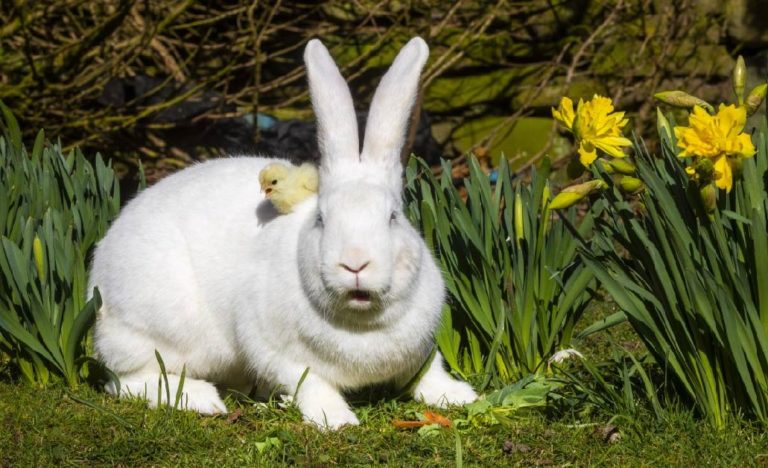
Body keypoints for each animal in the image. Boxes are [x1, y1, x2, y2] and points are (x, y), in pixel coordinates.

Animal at [88, 36, 477, 429]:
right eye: (322, 219)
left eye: (393, 217)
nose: (355, 264)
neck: (362, 323)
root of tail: (98, 275)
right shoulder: (277, 351)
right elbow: (311, 383)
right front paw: (336, 419)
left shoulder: (420, 348)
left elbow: (427, 372)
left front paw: (459, 395)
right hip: (161, 332)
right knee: (125, 380)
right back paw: (202, 399)